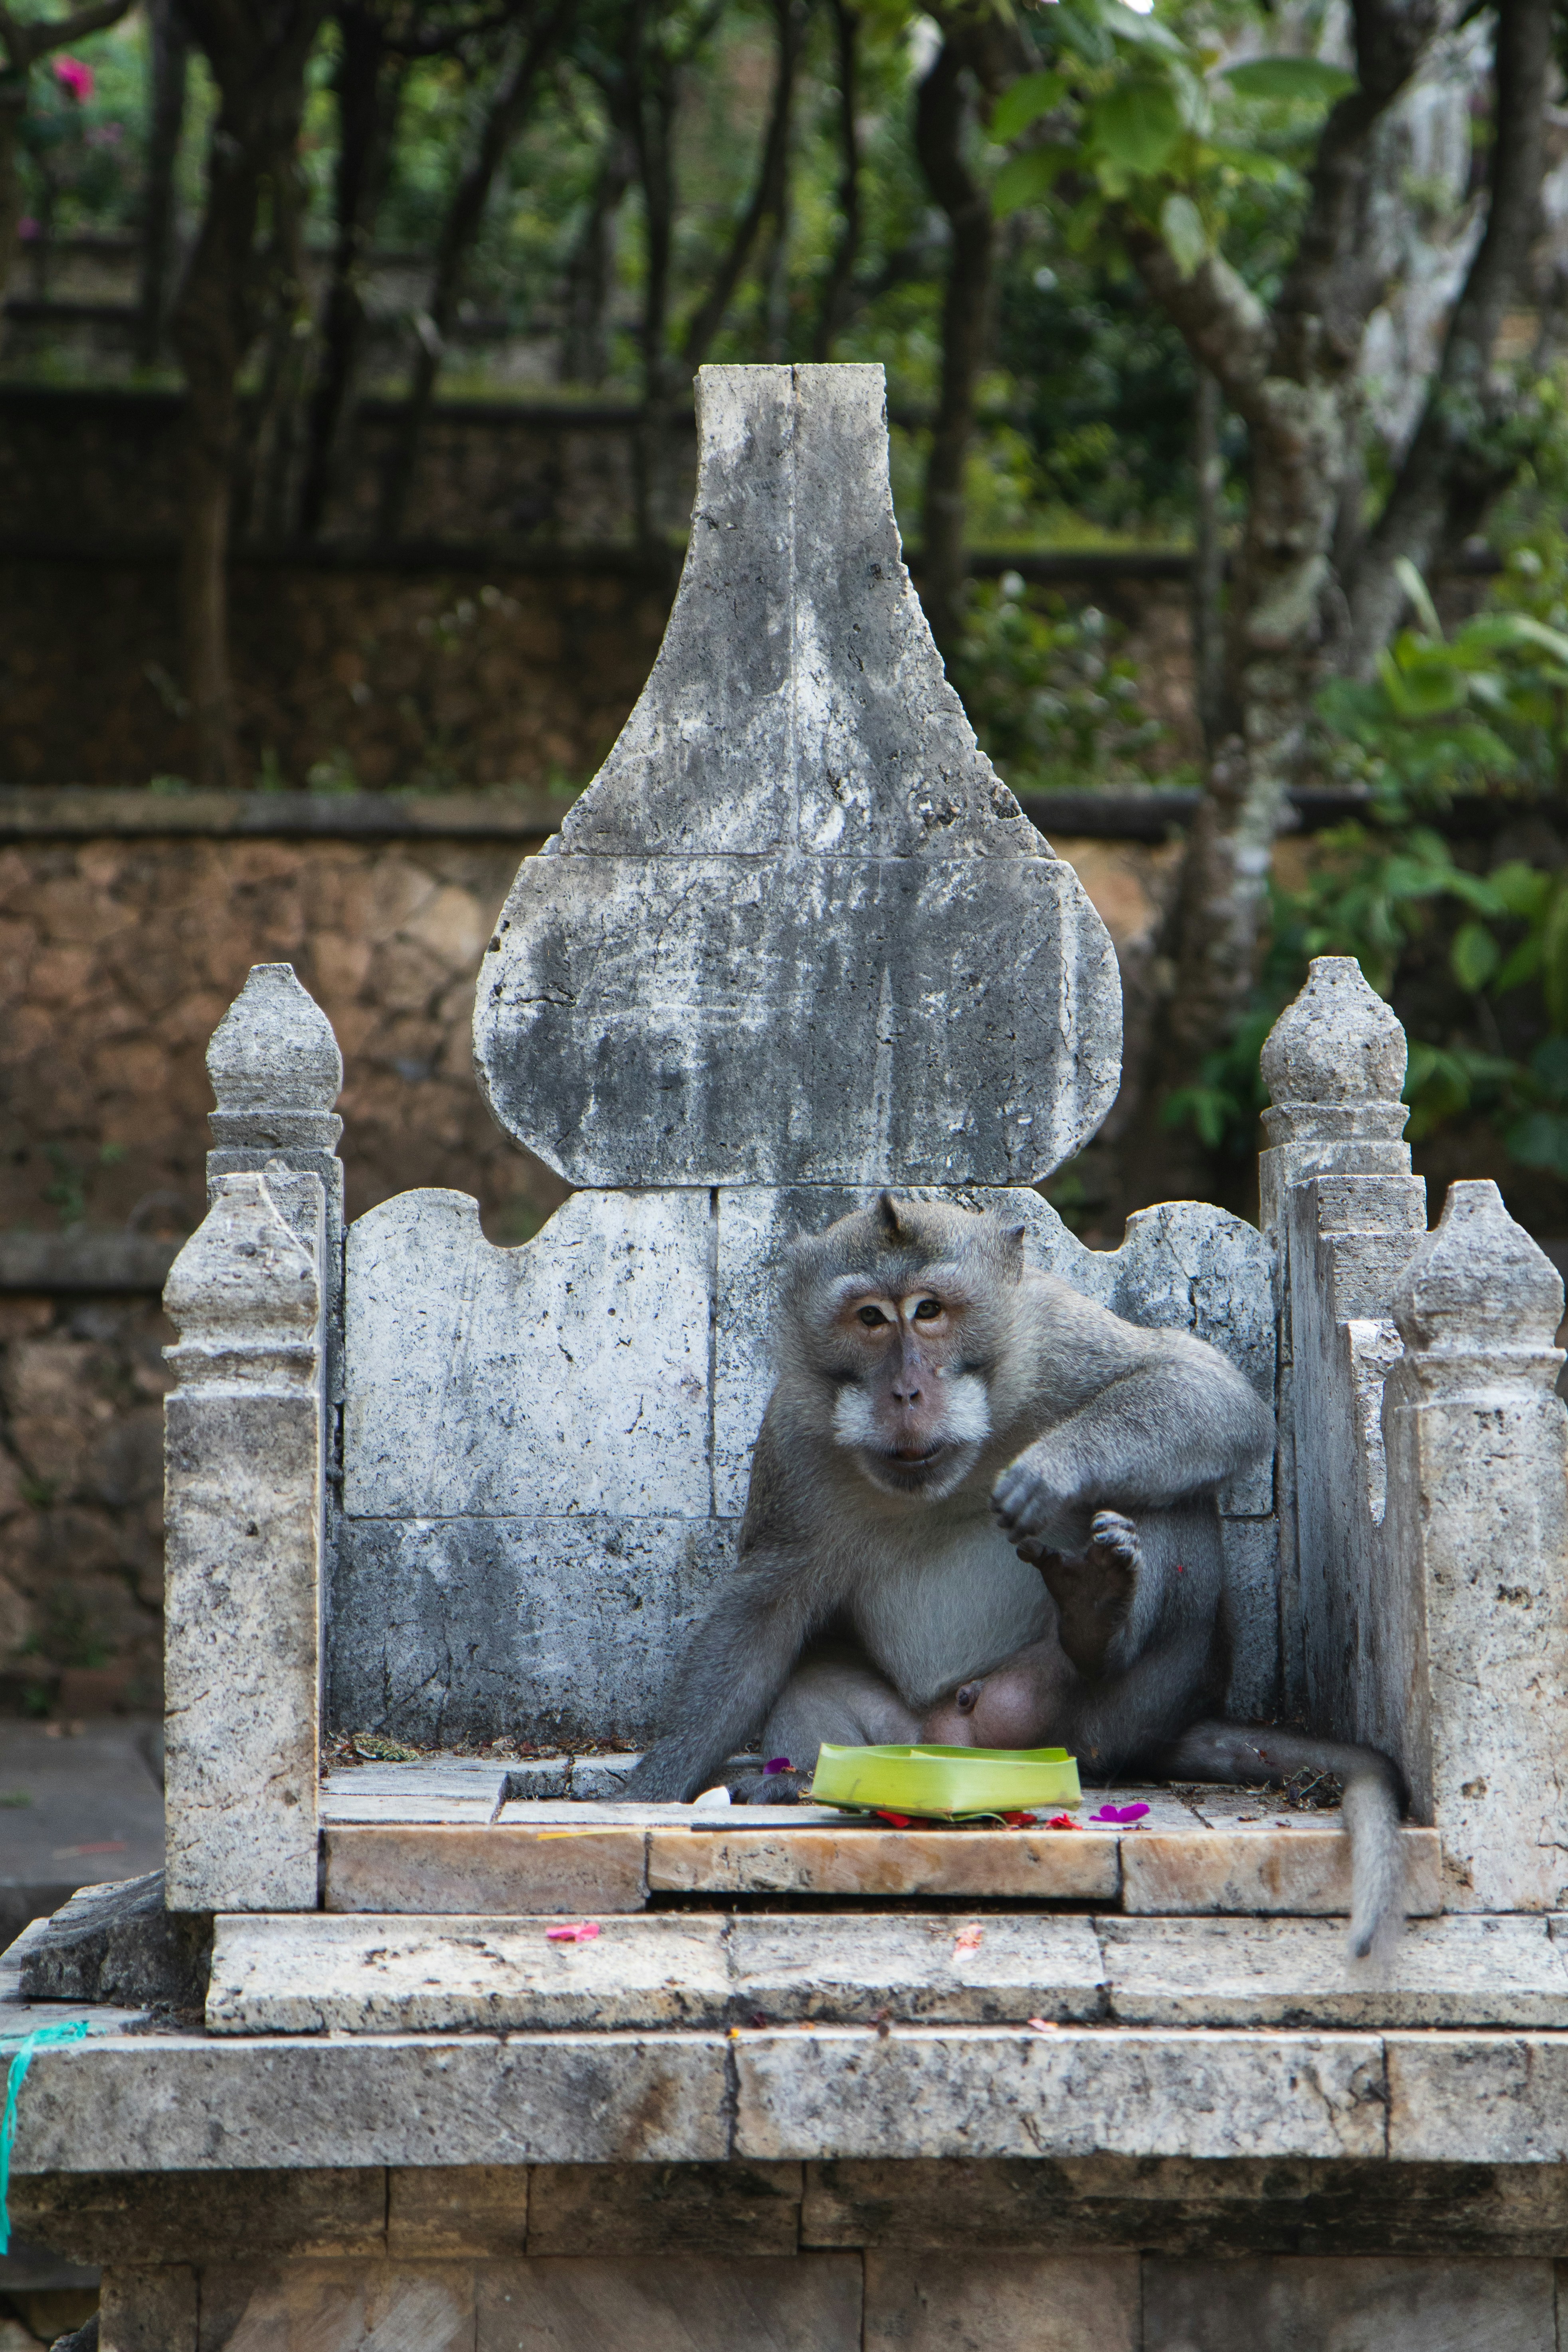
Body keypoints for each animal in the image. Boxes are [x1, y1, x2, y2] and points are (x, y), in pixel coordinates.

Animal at [624, 1192, 1405, 1956]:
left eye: (929, 1311)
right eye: (870, 1318)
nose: (906, 1392)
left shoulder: (1051, 1334)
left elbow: (1199, 1386)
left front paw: (1052, 1469)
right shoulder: (793, 1433)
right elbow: (762, 1609)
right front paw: (658, 1781)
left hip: (1104, 1716)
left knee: (1171, 1492)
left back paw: (1097, 1617)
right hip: (907, 1731)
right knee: (817, 1682)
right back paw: (793, 1788)